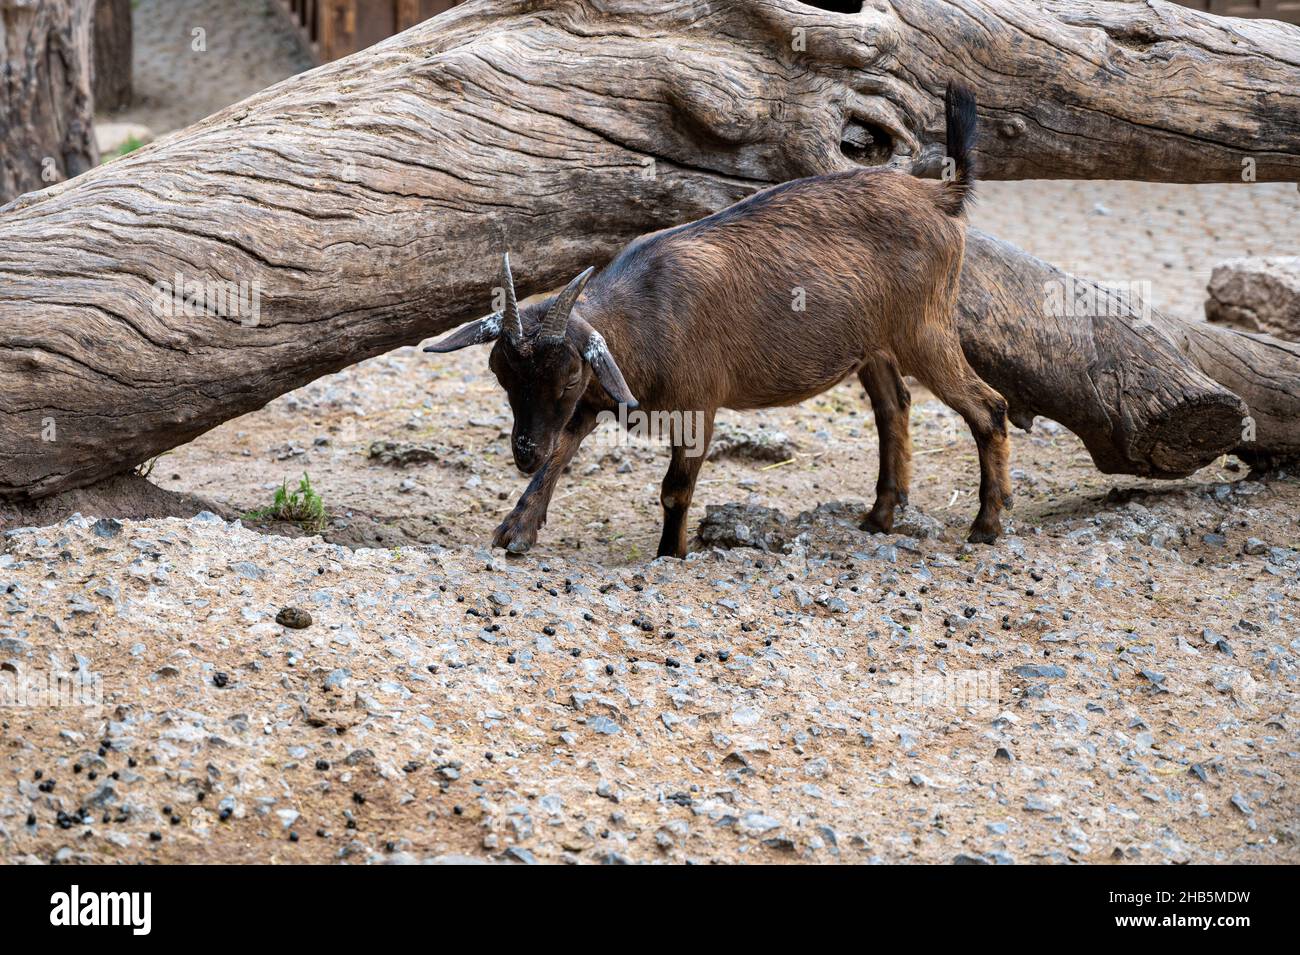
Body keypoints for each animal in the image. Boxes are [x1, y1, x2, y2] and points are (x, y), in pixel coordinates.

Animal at [425, 83, 1011, 557]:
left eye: (567, 376)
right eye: (501, 375)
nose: (522, 453)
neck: (645, 310)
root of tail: (939, 195)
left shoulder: (696, 403)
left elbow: (674, 489)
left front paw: (671, 554)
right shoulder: (595, 397)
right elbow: (562, 454)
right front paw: (516, 531)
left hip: (924, 328)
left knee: (989, 407)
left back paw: (986, 525)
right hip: (875, 342)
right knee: (895, 407)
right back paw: (880, 517)